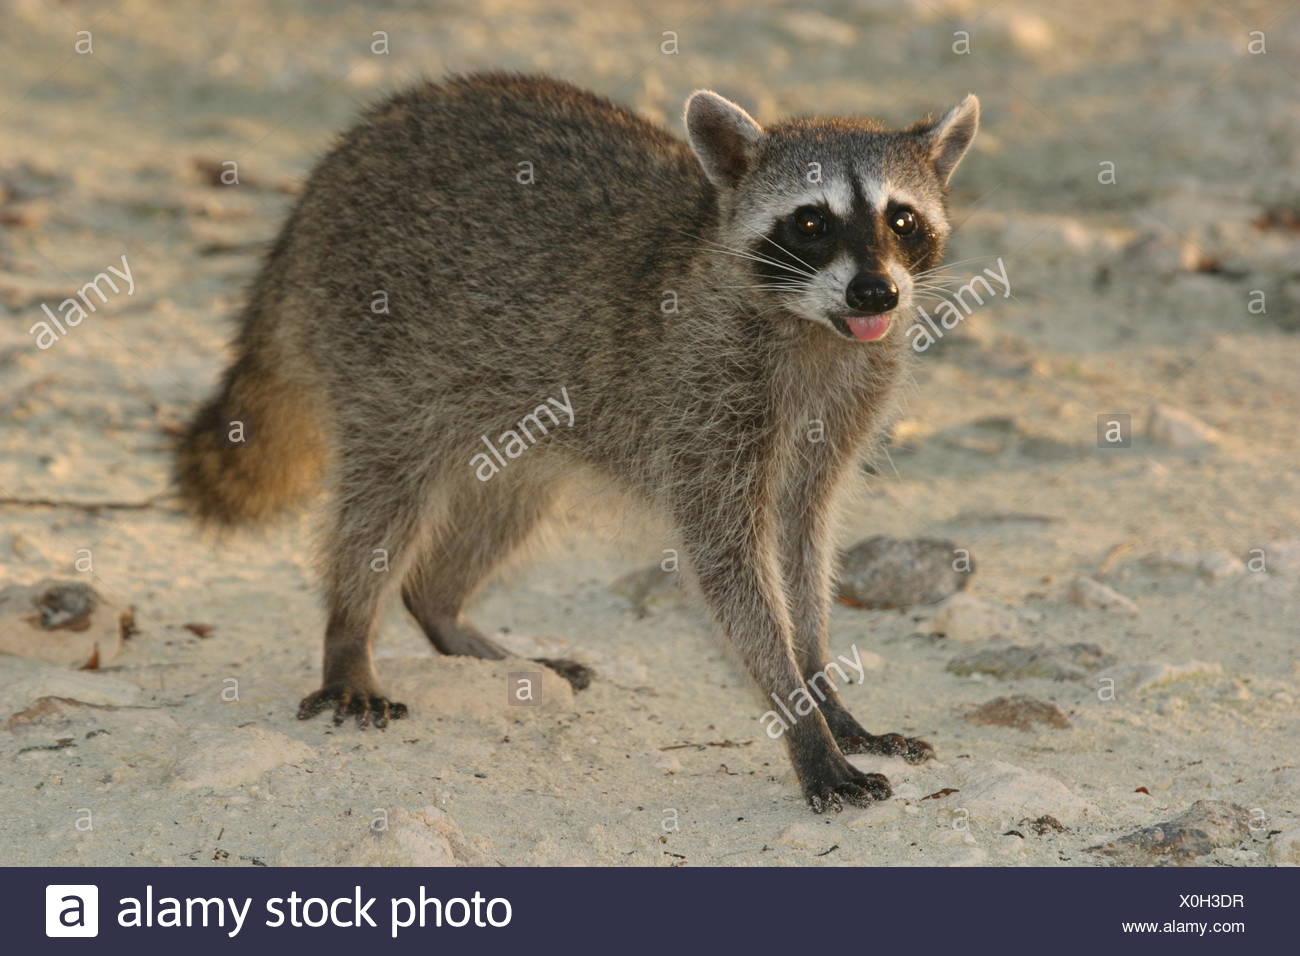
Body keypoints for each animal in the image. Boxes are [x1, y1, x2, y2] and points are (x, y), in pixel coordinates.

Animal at [175, 73, 979, 812]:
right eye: (811, 223)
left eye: (902, 220)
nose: (876, 293)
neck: (813, 329)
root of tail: (324, 179)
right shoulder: (702, 397)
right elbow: (731, 562)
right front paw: (800, 718)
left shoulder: (836, 412)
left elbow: (801, 544)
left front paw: (825, 691)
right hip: (378, 349)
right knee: (382, 503)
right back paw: (349, 635)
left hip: (512, 423)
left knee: (502, 507)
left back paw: (442, 609)